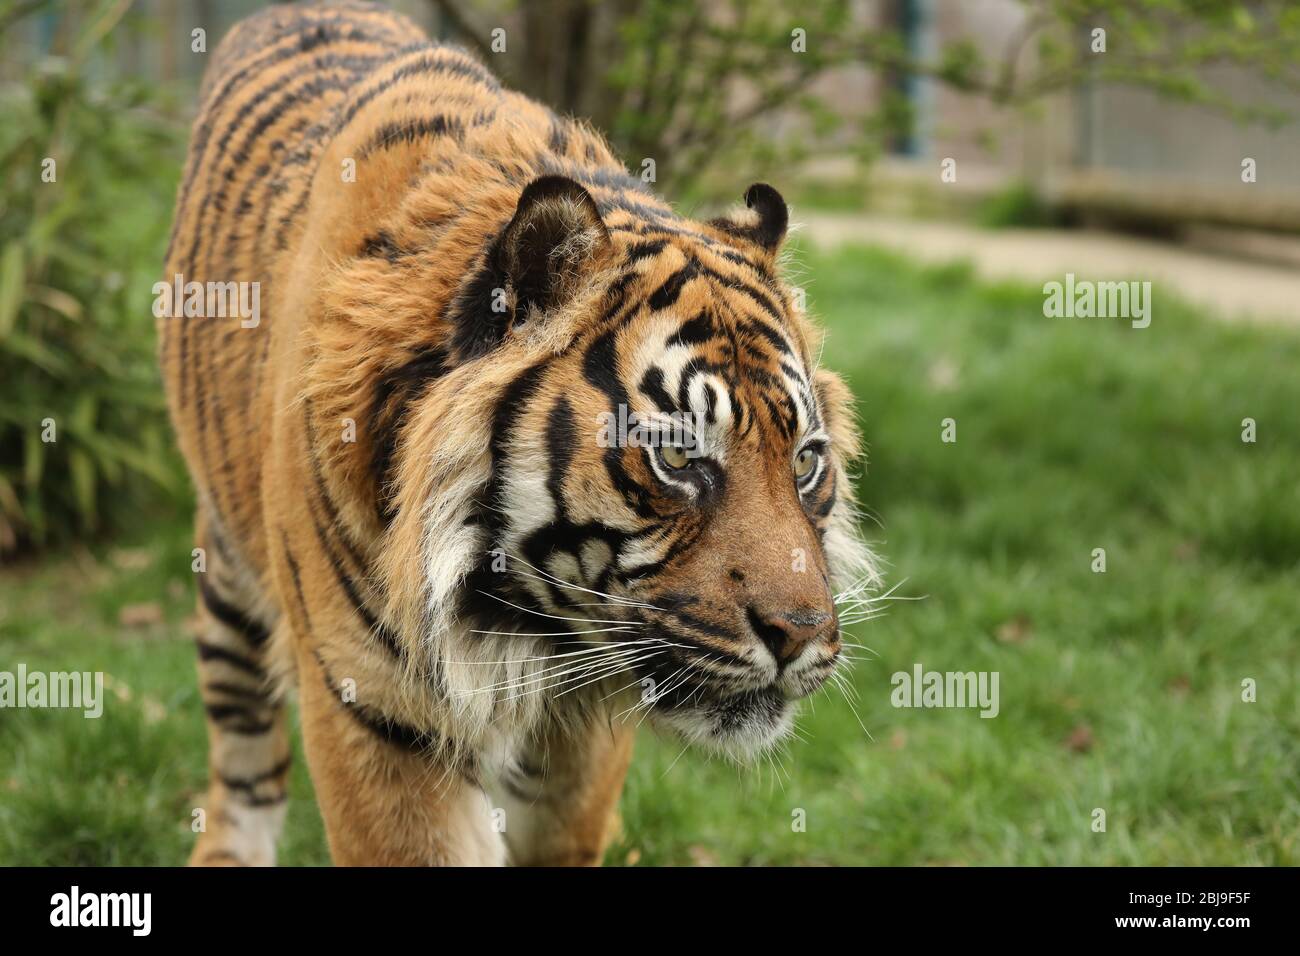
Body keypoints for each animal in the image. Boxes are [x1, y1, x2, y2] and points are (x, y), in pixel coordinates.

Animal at [159, 1, 878, 867]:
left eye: (806, 463)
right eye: (679, 457)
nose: (802, 637)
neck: (530, 625)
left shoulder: (586, 732)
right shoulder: (376, 716)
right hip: (228, 579)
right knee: (243, 762)